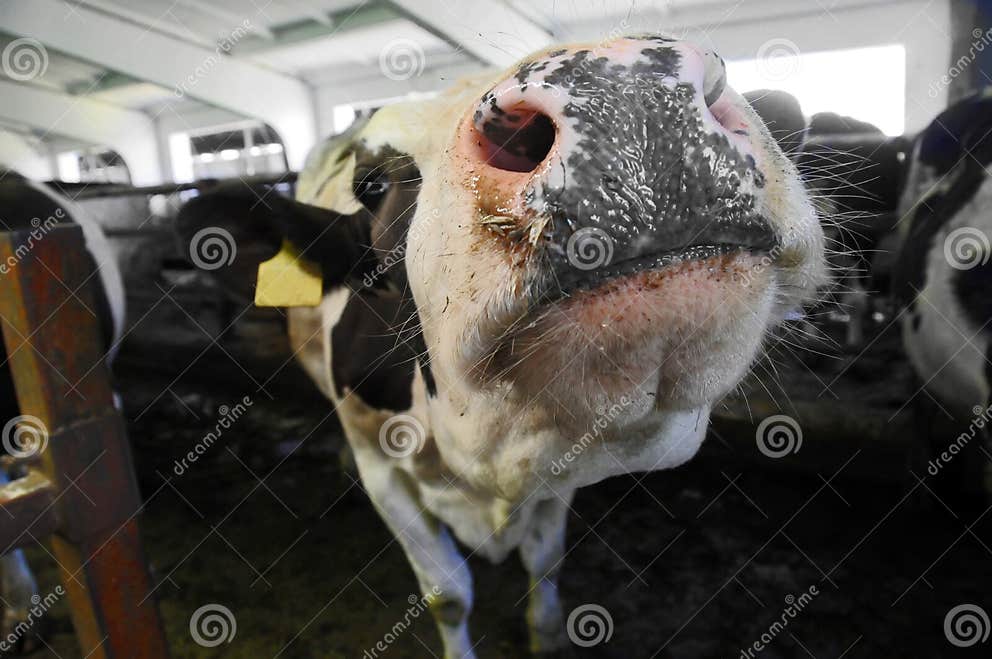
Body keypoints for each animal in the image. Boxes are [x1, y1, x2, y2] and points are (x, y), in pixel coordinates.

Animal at [178, 36, 826, 657]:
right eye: (372, 185)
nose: (621, 92)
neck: (486, 458)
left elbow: (544, 559)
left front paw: (548, 632)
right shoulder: (380, 463)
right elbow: (448, 597)